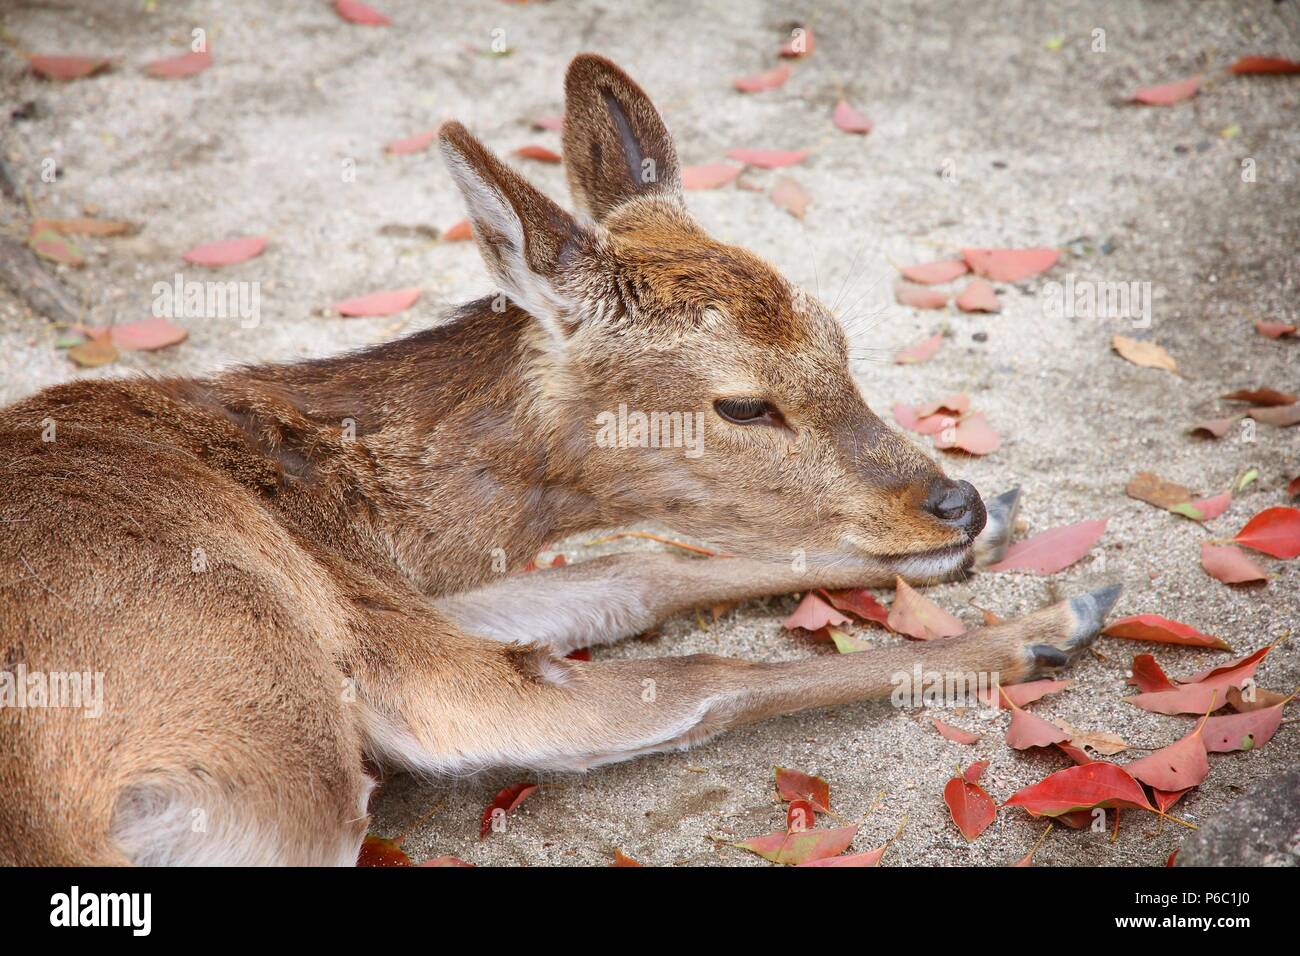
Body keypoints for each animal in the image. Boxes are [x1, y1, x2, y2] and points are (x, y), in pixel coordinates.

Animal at [0, 54, 1119, 866]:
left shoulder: (397, 600)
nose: (952, 500)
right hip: (274, 750)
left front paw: (1004, 531)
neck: (363, 516)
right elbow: (704, 676)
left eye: (838, 336)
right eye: (743, 403)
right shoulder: (399, 667)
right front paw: (1051, 623)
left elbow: (631, 571)